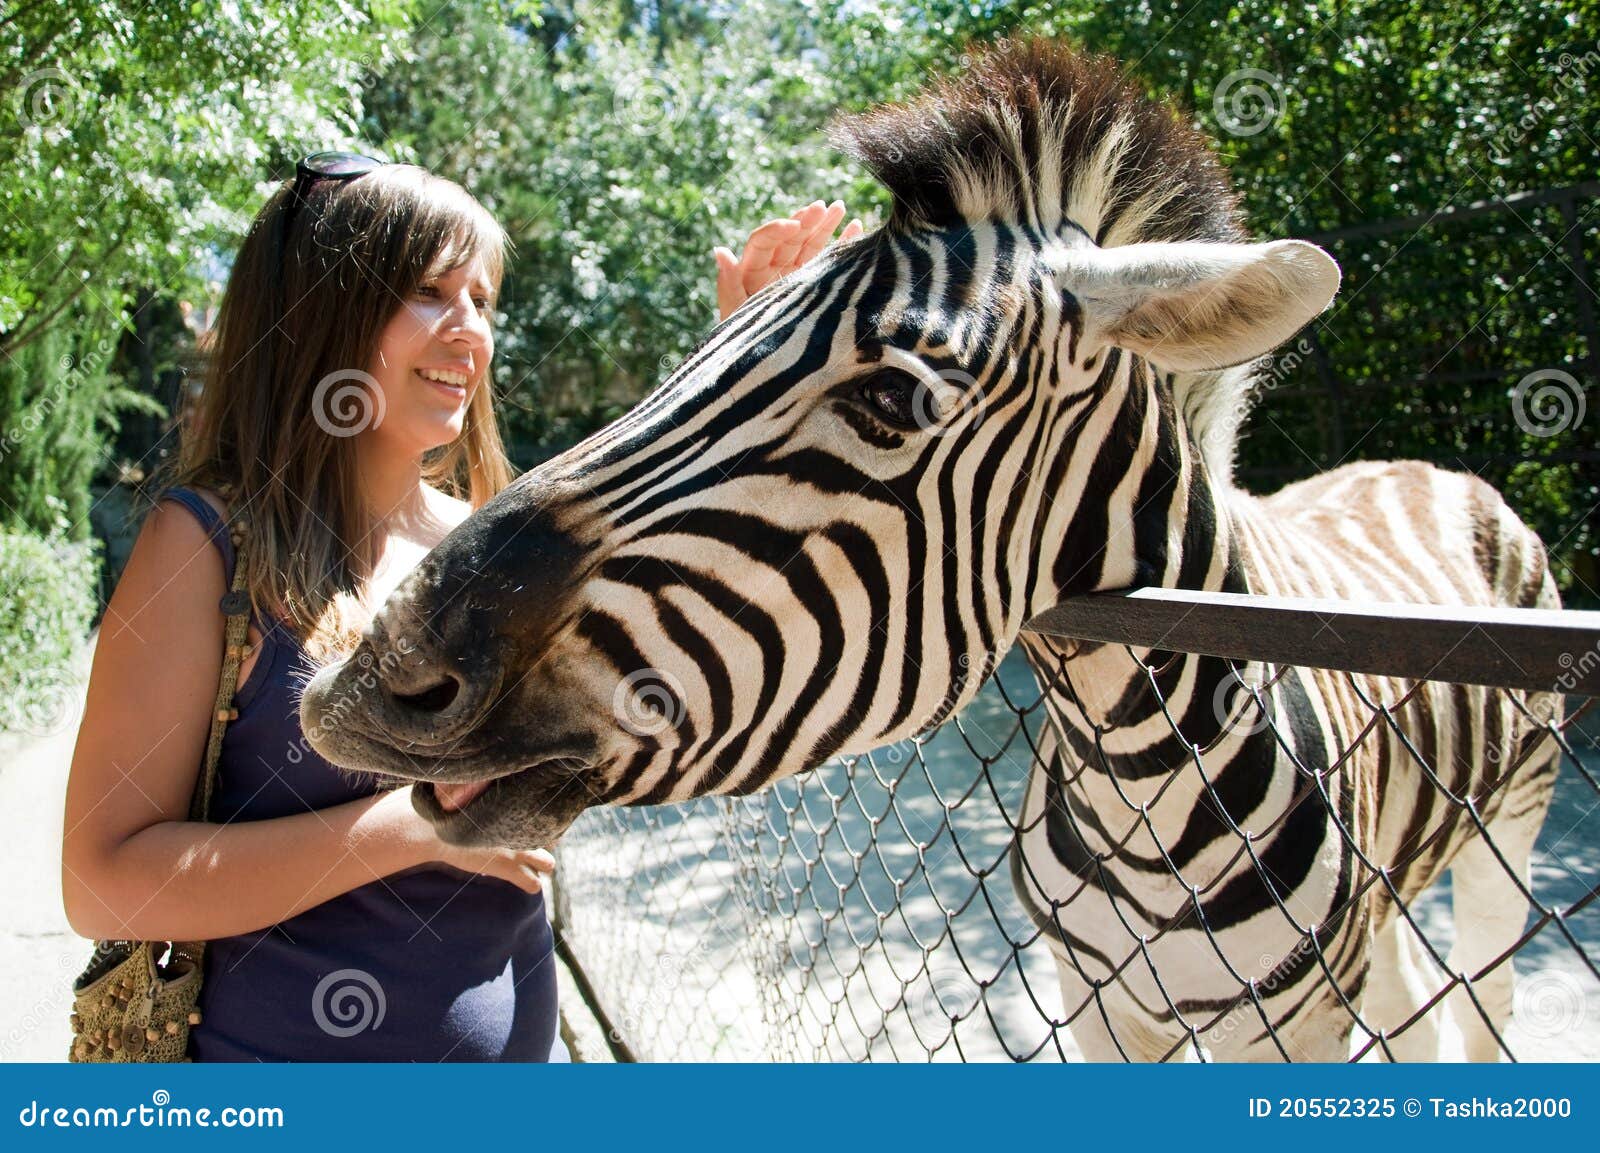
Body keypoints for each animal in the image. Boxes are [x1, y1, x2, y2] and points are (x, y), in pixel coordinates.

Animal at [302, 39, 1564, 1062]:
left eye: (893, 402)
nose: (360, 684)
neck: (1141, 786)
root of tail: (1424, 467)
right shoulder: (1096, 997)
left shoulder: (1285, 1021)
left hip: (1510, 829)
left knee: (1482, 1002)